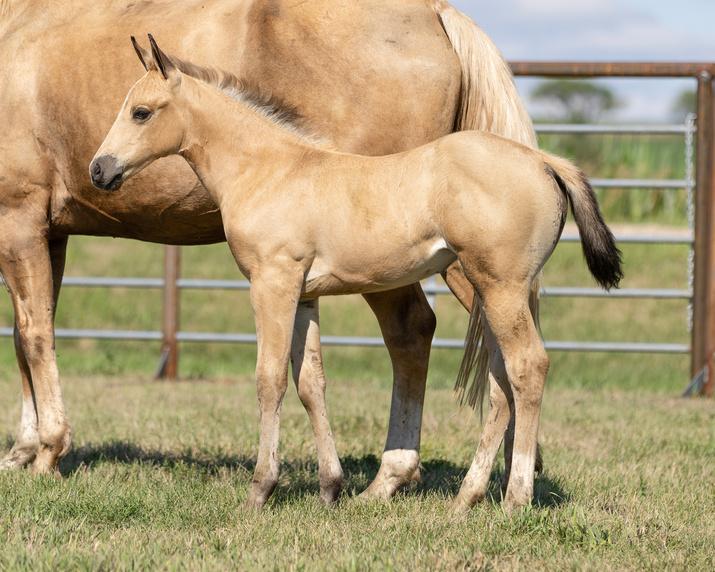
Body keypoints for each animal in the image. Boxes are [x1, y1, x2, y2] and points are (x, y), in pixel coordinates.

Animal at [0, 0, 536, 501]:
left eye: (141, 112)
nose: (99, 169)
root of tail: (437, 13)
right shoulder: (52, 232)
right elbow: (27, 335)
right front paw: (23, 451)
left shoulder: (18, 219)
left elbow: (34, 335)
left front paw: (46, 452)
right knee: (483, 349)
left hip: (445, 266)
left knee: (447, 339)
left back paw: (460, 480)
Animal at [90, 36, 622, 510]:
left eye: (142, 112)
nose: (99, 170)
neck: (269, 169)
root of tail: (544, 160)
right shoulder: (304, 294)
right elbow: (310, 384)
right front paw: (330, 488)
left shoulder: (272, 283)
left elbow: (269, 379)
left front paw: (260, 490)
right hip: (500, 294)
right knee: (500, 380)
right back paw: (466, 498)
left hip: (500, 287)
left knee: (527, 368)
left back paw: (514, 499)